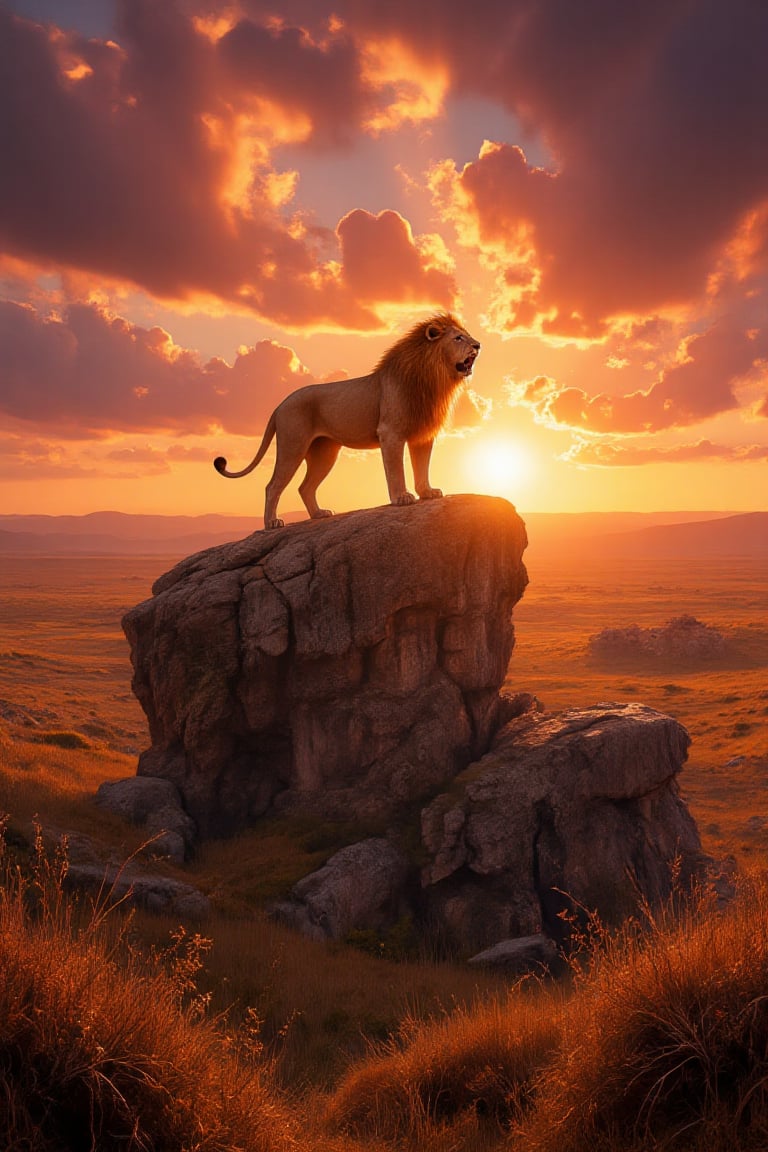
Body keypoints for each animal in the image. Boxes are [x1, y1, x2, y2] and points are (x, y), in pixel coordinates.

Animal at [213, 312, 480, 528]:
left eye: (468, 336)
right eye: (458, 338)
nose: (478, 345)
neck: (433, 377)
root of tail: (279, 405)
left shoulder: (422, 435)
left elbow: (422, 466)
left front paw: (428, 492)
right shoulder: (390, 433)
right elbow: (396, 470)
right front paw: (401, 498)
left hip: (325, 452)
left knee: (305, 487)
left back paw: (319, 514)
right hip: (293, 445)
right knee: (273, 486)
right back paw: (272, 523)